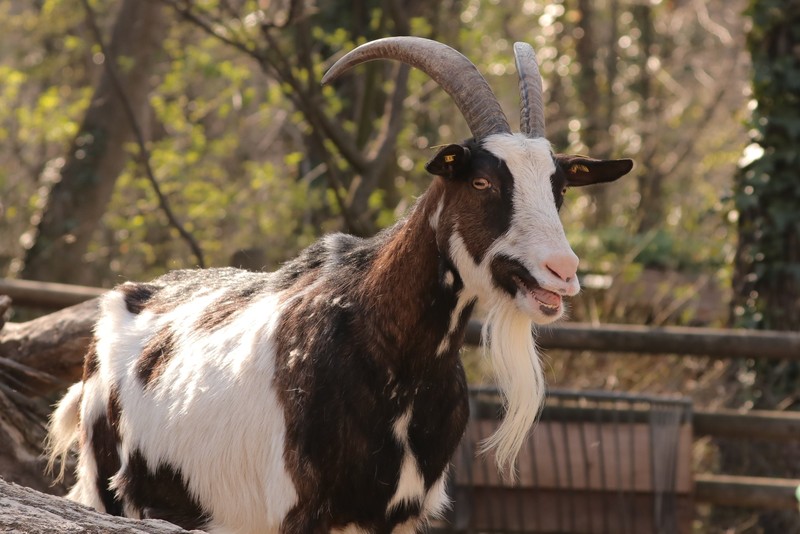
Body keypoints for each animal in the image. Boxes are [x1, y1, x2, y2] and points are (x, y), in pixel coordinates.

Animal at [47, 37, 633, 533]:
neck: (387, 351)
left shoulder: (400, 515)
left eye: (559, 188)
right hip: (109, 490)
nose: (561, 270)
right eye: (482, 181)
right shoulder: (299, 509)